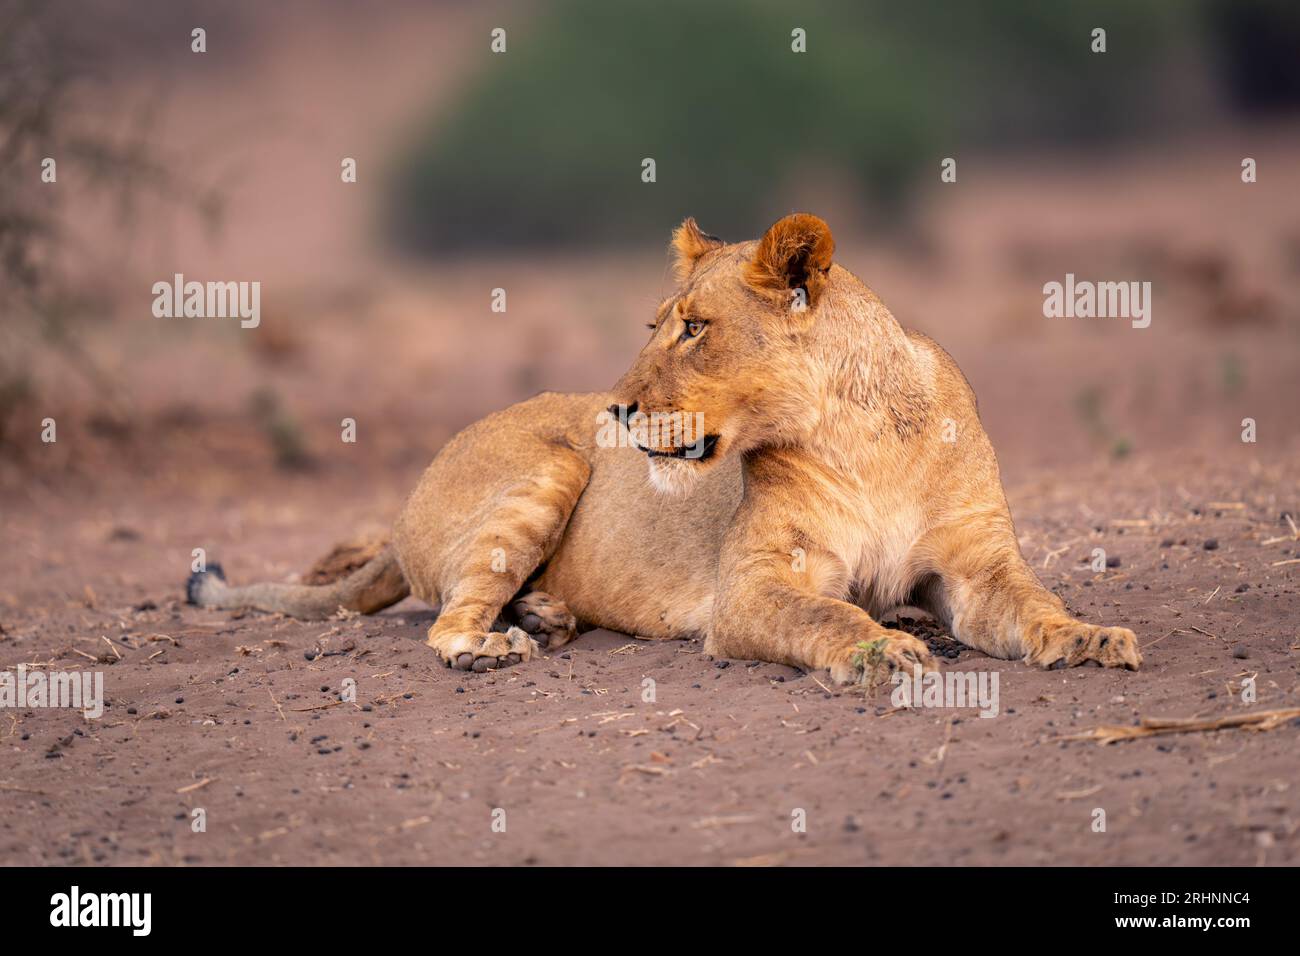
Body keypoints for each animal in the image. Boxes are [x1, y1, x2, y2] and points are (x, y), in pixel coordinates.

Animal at [188, 213, 1142, 682]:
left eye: (693, 328)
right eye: (656, 326)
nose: (616, 409)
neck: (857, 433)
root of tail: (398, 517)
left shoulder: (977, 565)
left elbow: (1035, 604)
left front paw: (1091, 637)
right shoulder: (753, 586)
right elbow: (825, 613)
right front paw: (876, 650)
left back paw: (545, 614)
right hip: (554, 462)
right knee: (448, 617)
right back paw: (495, 642)